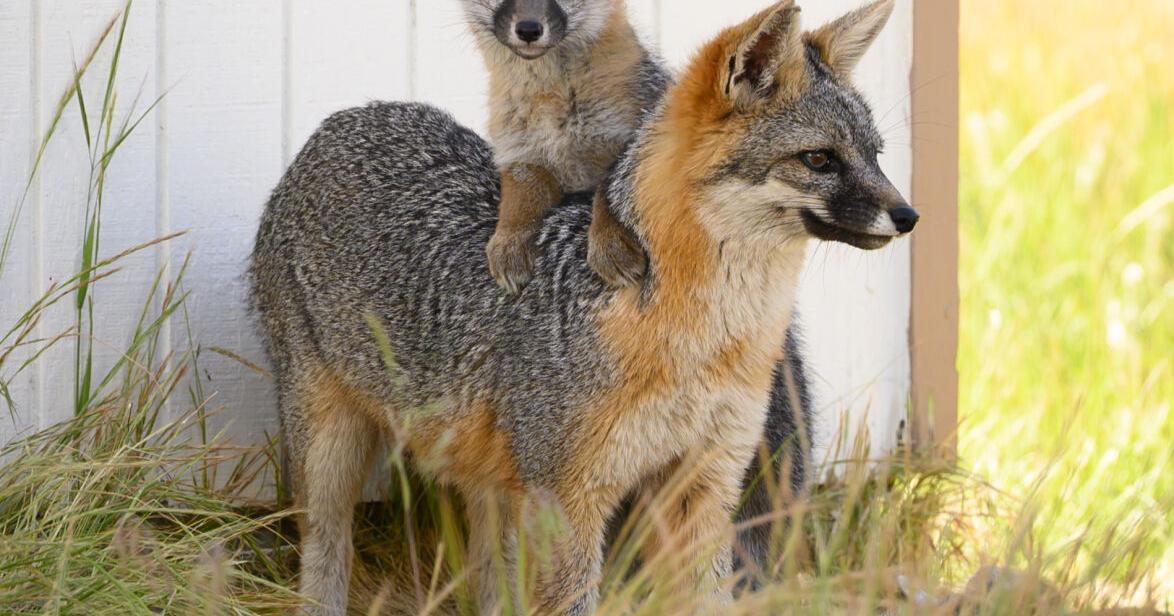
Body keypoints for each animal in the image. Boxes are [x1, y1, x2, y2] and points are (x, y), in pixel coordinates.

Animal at [461, 0, 669, 293]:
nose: (528, 29)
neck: (549, 97)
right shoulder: (521, 152)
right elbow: (519, 199)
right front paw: (509, 243)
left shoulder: (626, 138)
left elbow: (610, 192)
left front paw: (611, 242)